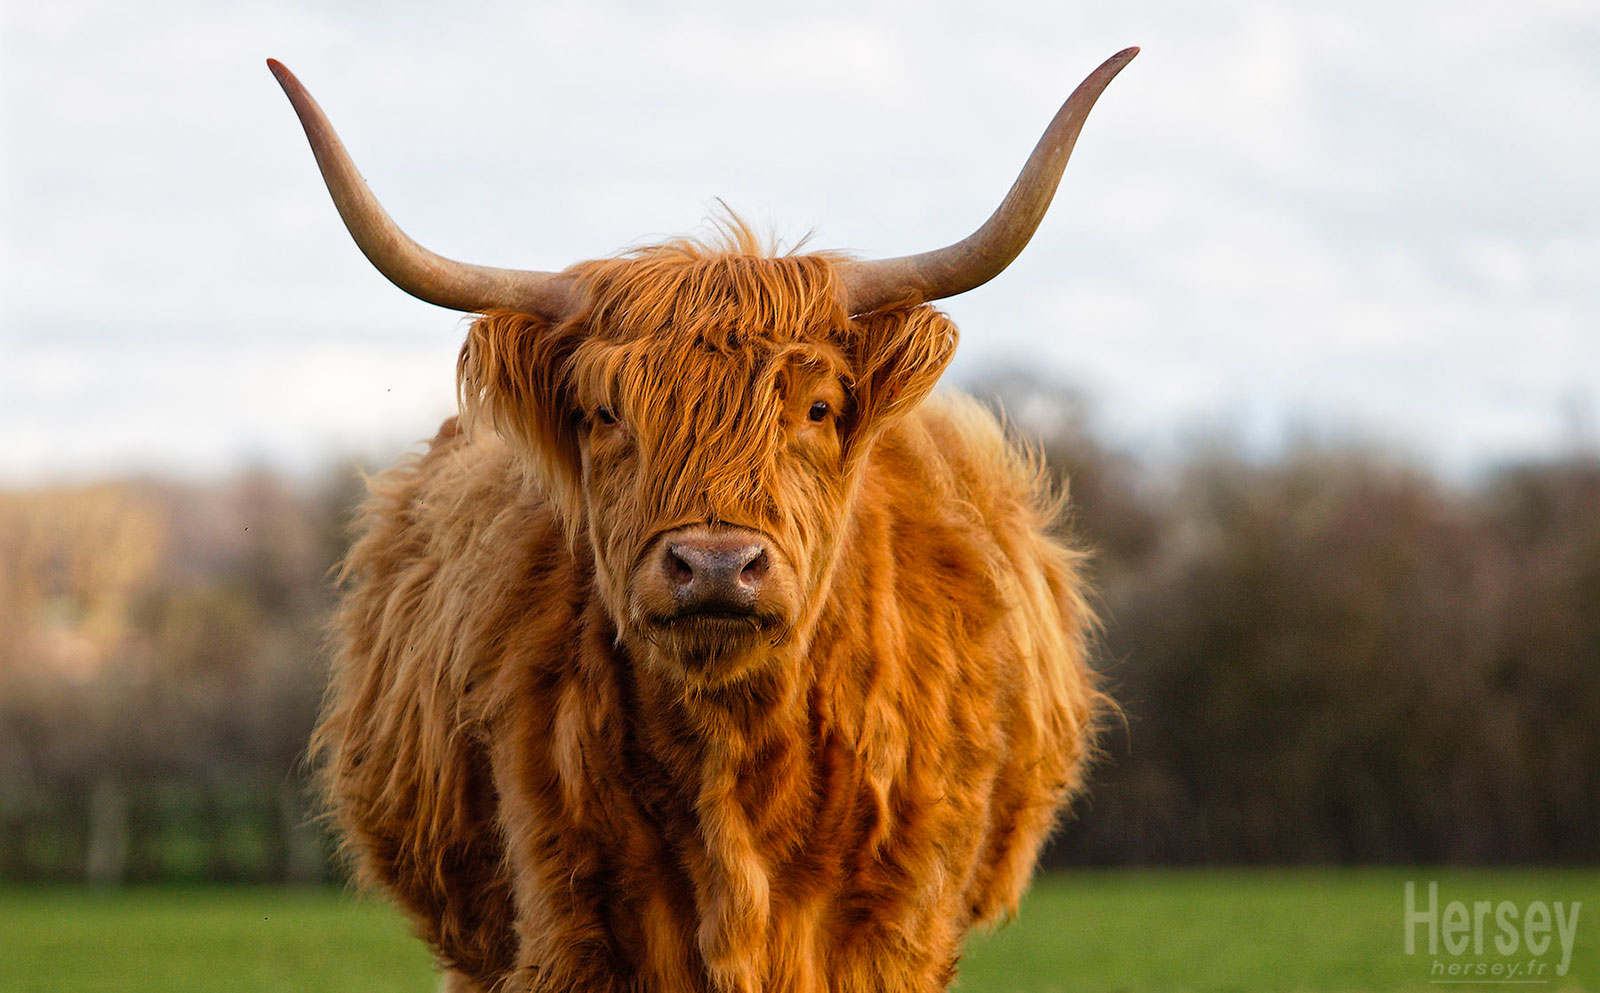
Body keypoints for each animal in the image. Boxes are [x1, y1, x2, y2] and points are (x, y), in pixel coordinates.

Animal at [269, 47, 1136, 993]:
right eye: (604, 413)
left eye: (818, 407)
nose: (717, 565)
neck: (732, 765)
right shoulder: (564, 928)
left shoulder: (893, 933)